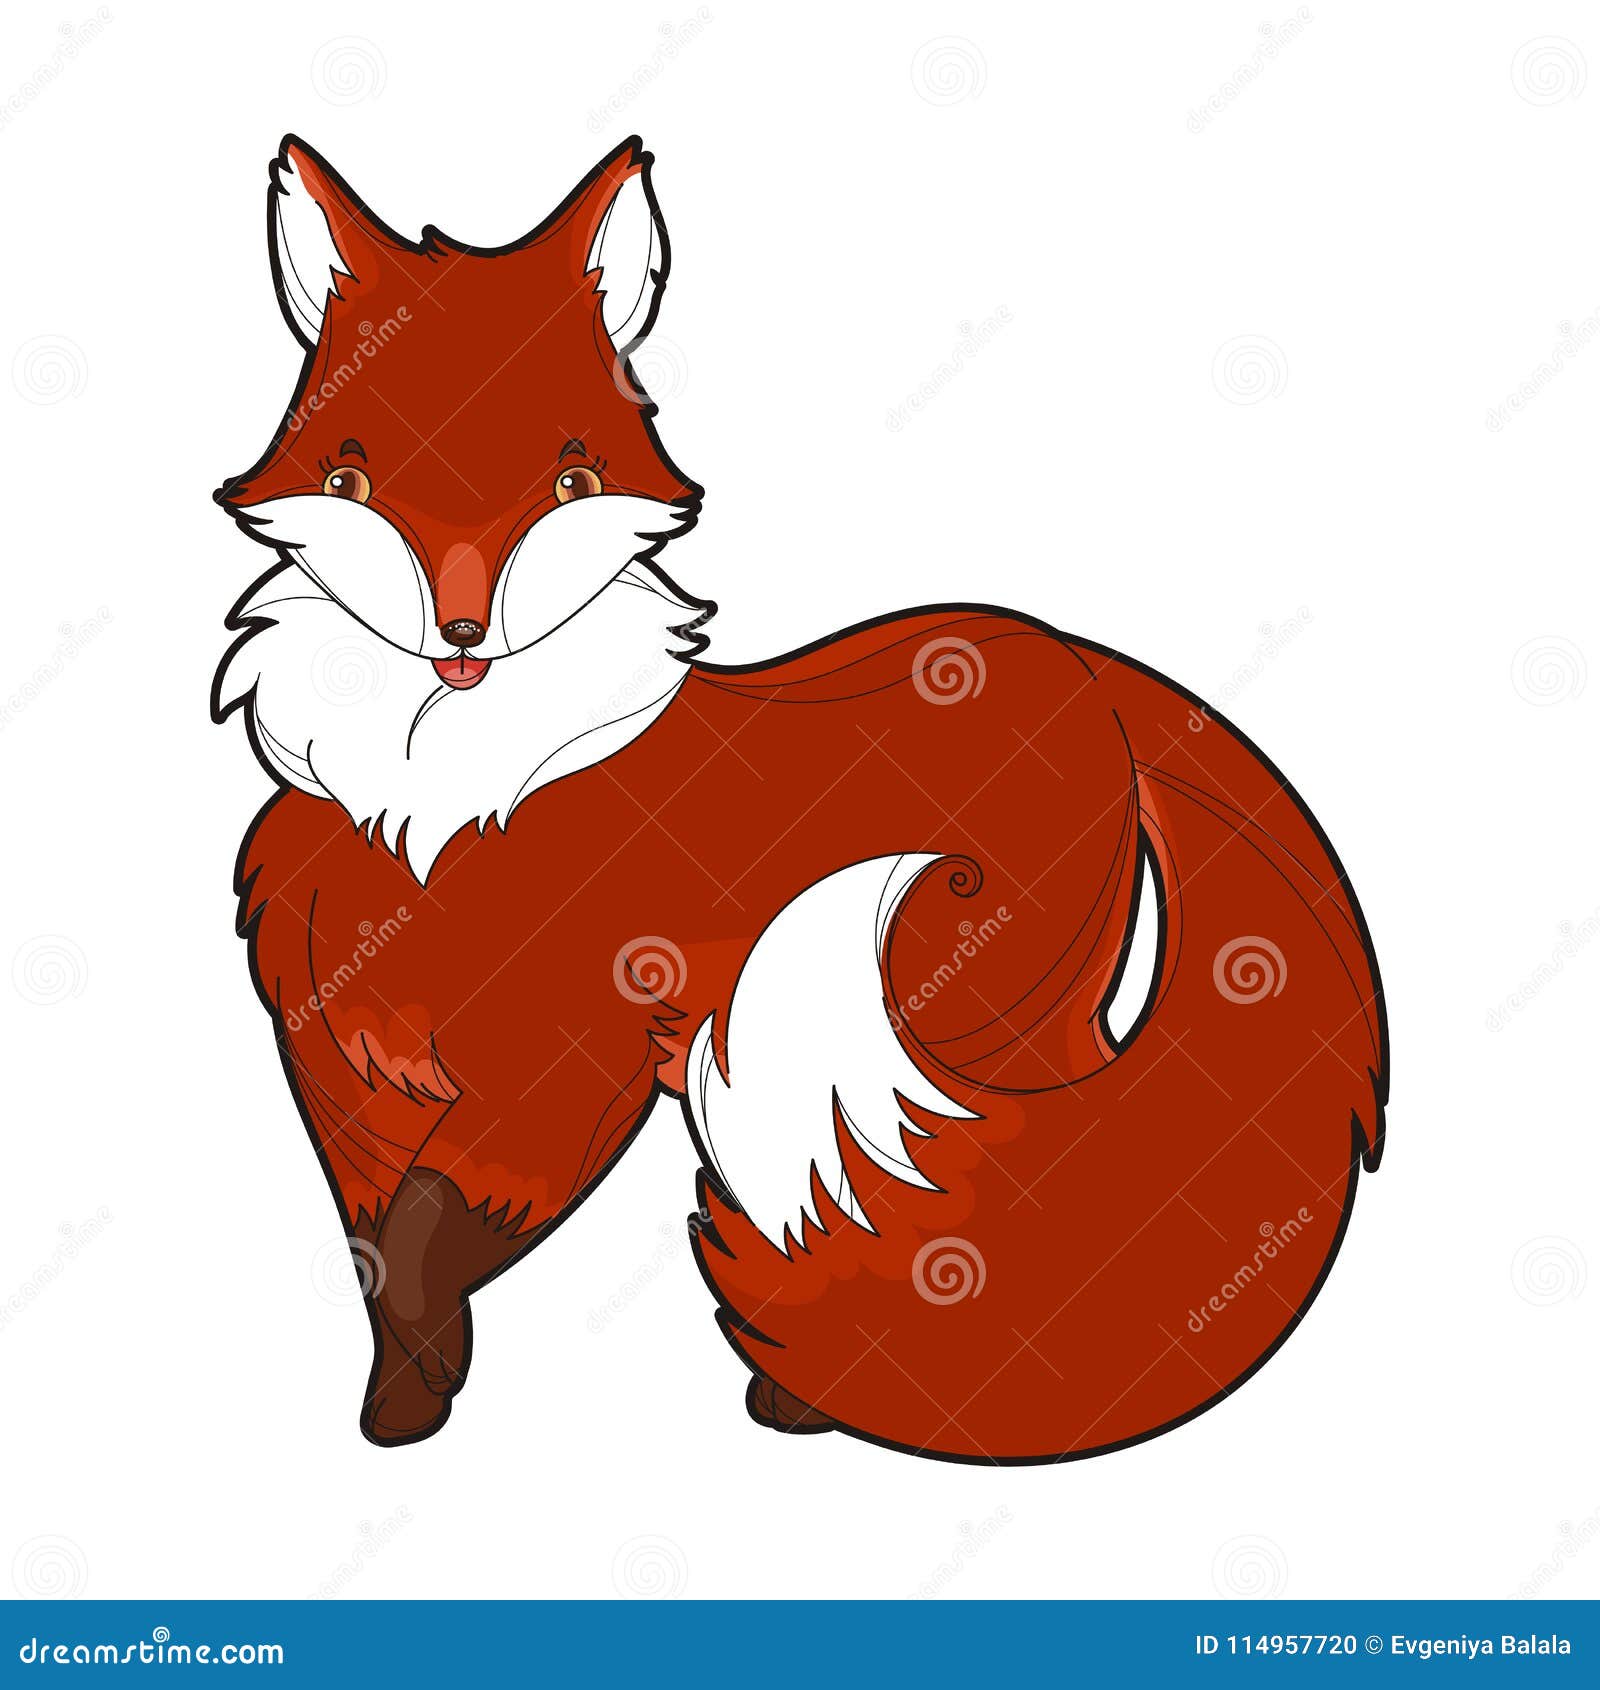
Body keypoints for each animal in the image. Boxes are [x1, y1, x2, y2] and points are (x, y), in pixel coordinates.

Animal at [213, 136, 1387, 1461]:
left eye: (569, 479)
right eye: (353, 476)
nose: (462, 631)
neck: (441, 814)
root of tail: (1073, 655)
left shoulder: (563, 1066)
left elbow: (436, 1227)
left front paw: (417, 1390)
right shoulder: (342, 1070)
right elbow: (384, 1259)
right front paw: (403, 1405)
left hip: (967, 1023)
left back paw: (813, 1400)